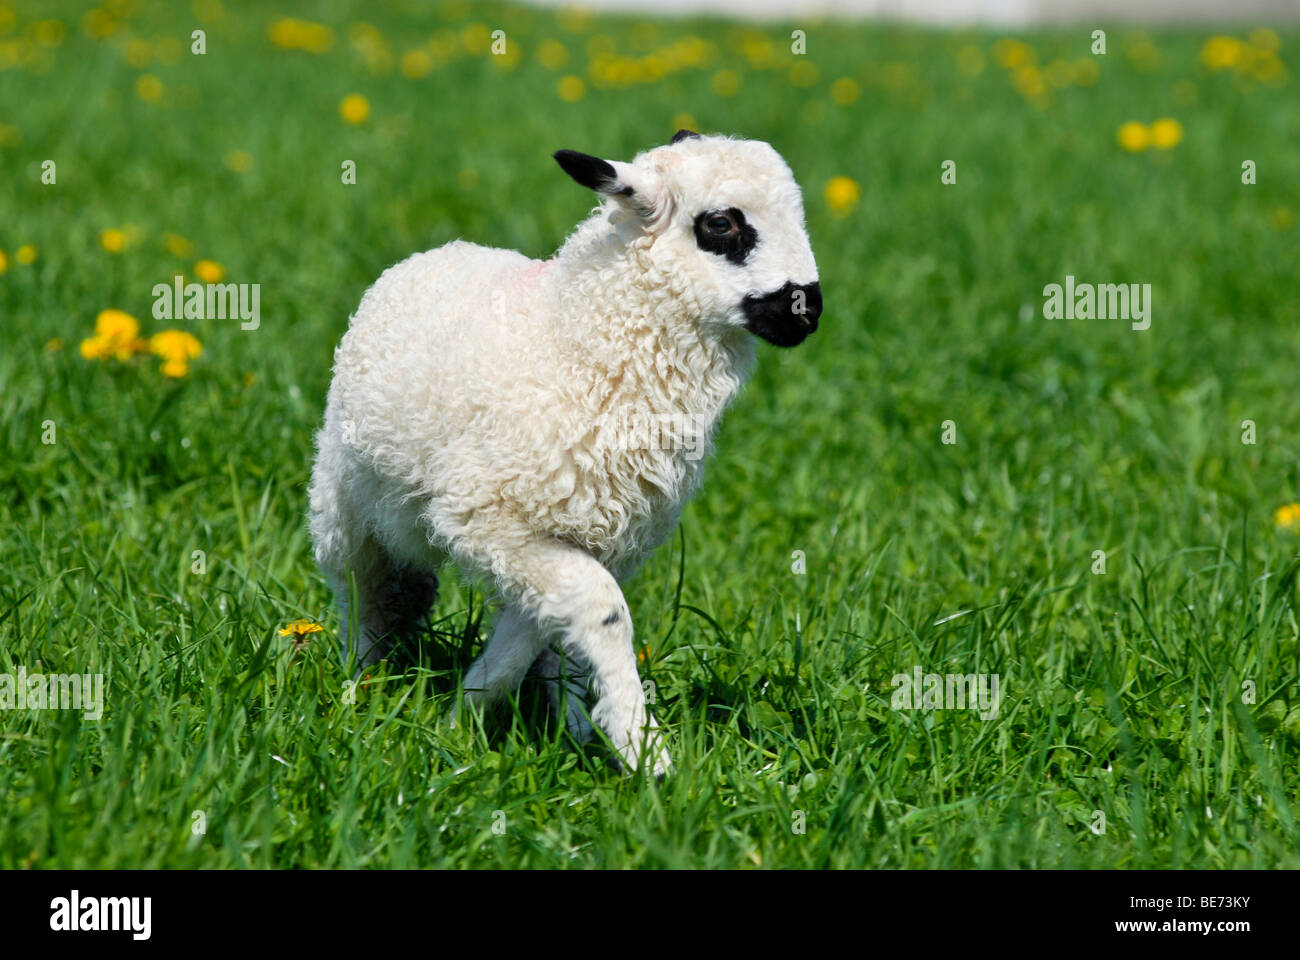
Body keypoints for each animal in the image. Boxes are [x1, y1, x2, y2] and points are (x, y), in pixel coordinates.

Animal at [308, 130, 822, 775]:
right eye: (722, 224)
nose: (808, 310)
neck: (576, 344)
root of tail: (439, 251)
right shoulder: (490, 516)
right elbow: (601, 611)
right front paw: (645, 751)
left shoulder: (604, 535)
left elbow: (541, 632)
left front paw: (467, 719)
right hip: (346, 508)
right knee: (365, 601)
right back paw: (360, 692)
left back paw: (571, 721)